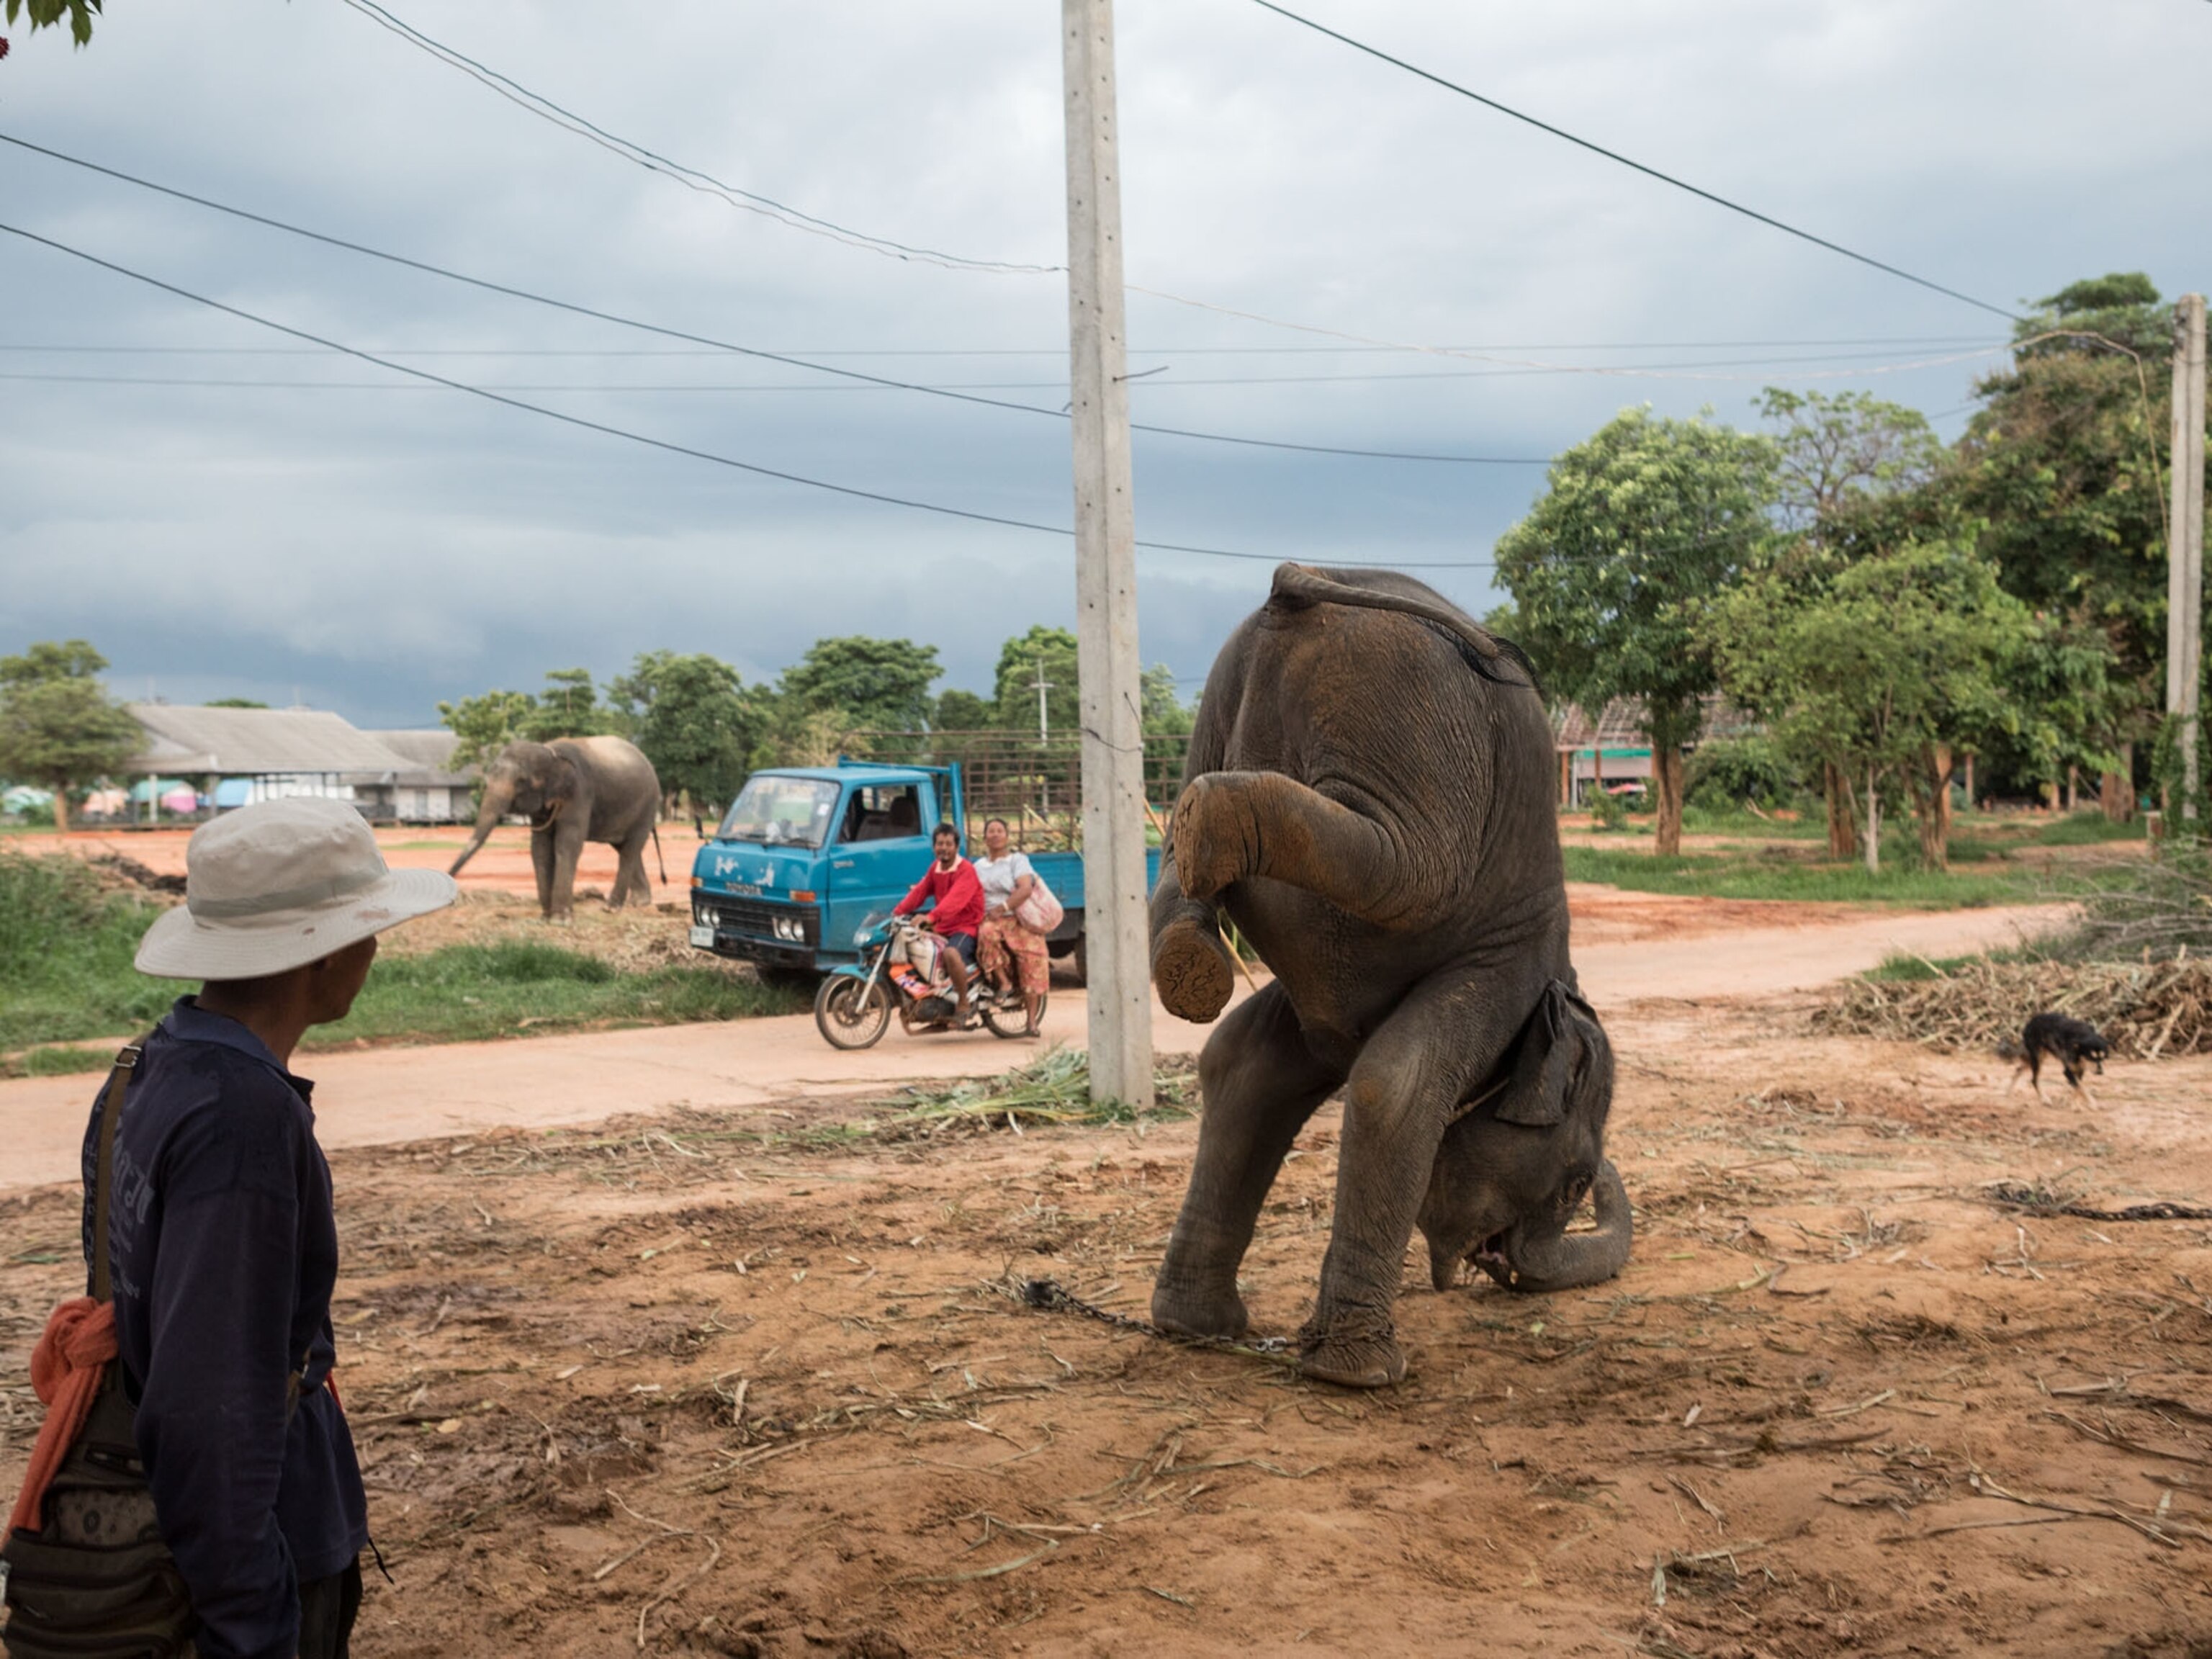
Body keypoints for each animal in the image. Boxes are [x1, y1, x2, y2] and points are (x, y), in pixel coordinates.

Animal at [449, 736, 664, 920]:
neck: (551, 752)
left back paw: (611, 908)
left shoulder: (580, 793)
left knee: (630, 848)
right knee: (624, 847)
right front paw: (546, 917)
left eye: (521, 781)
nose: (451, 899)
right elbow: (540, 847)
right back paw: (639, 902)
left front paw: (561, 919)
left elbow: (567, 844)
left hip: (647, 806)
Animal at [1148, 563, 1632, 1388]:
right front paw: (1361, 1376)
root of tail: (1302, 584)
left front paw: (1196, 1329)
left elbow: (1243, 1072)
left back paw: (1190, 939)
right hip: (1416, 728)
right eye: (1574, 1181)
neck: (1561, 986)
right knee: (1409, 866)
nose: (1502, 1267)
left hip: (1227, 701)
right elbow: (1395, 1085)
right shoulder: (1501, 968)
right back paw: (1214, 823)